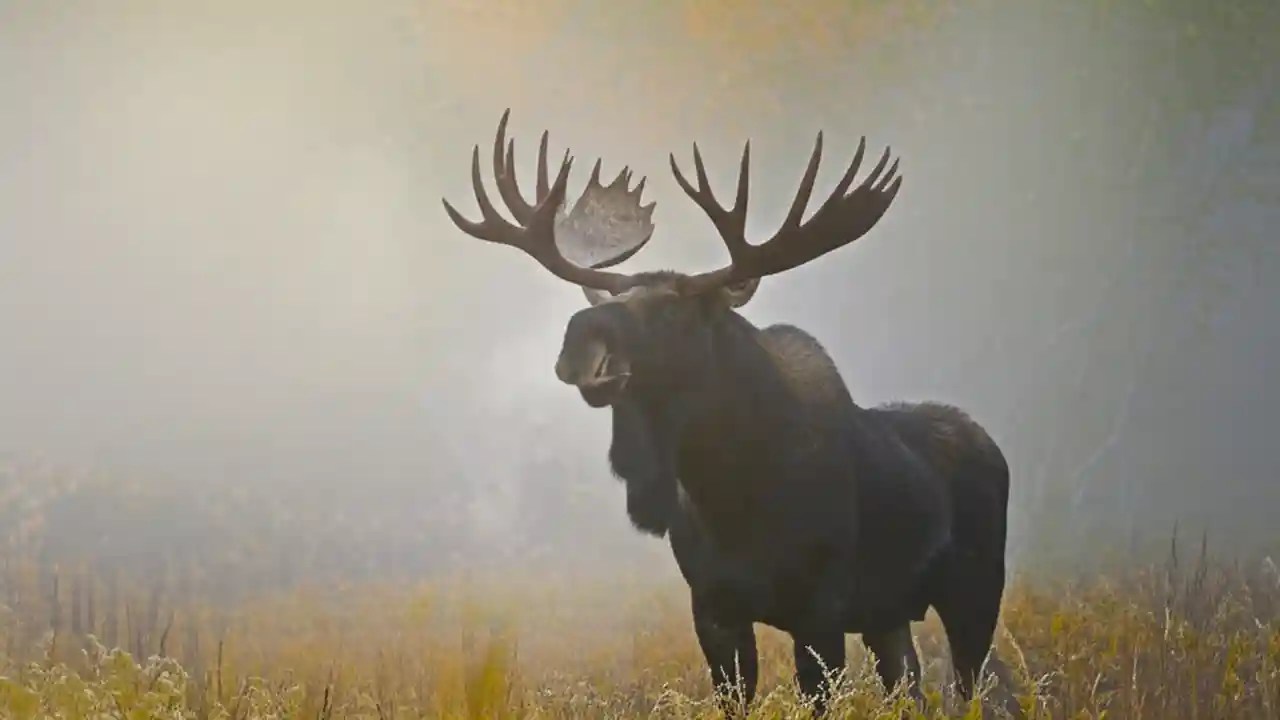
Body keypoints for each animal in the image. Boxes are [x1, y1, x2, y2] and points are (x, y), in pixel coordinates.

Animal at [442, 110, 1021, 716]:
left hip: (976, 589)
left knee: (977, 685)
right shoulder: (714, 610)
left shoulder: (821, 611)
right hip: (889, 615)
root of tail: (992, 446)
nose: (581, 337)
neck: (728, 491)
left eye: (674, 308)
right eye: (616, 297)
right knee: (910, 685)